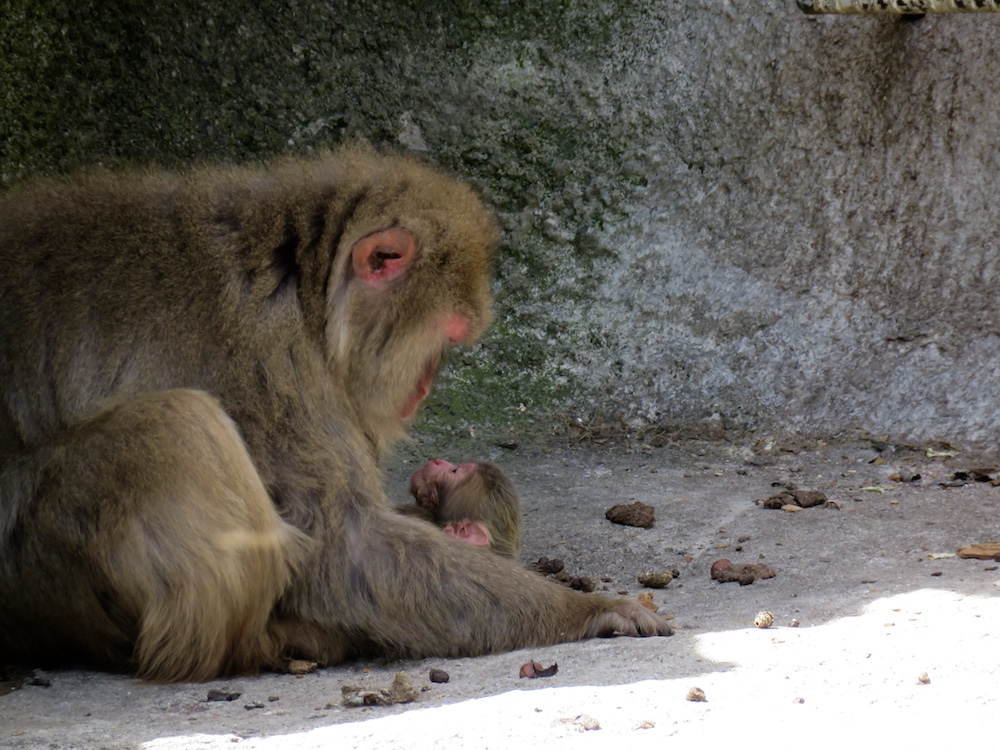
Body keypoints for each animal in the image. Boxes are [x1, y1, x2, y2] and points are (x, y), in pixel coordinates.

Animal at [0, 146, 671, 682]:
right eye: (447, 338)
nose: (425, 386)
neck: (307, 296)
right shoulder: (271, 361)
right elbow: (344, 550)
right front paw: (592, 612)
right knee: (180, 425)